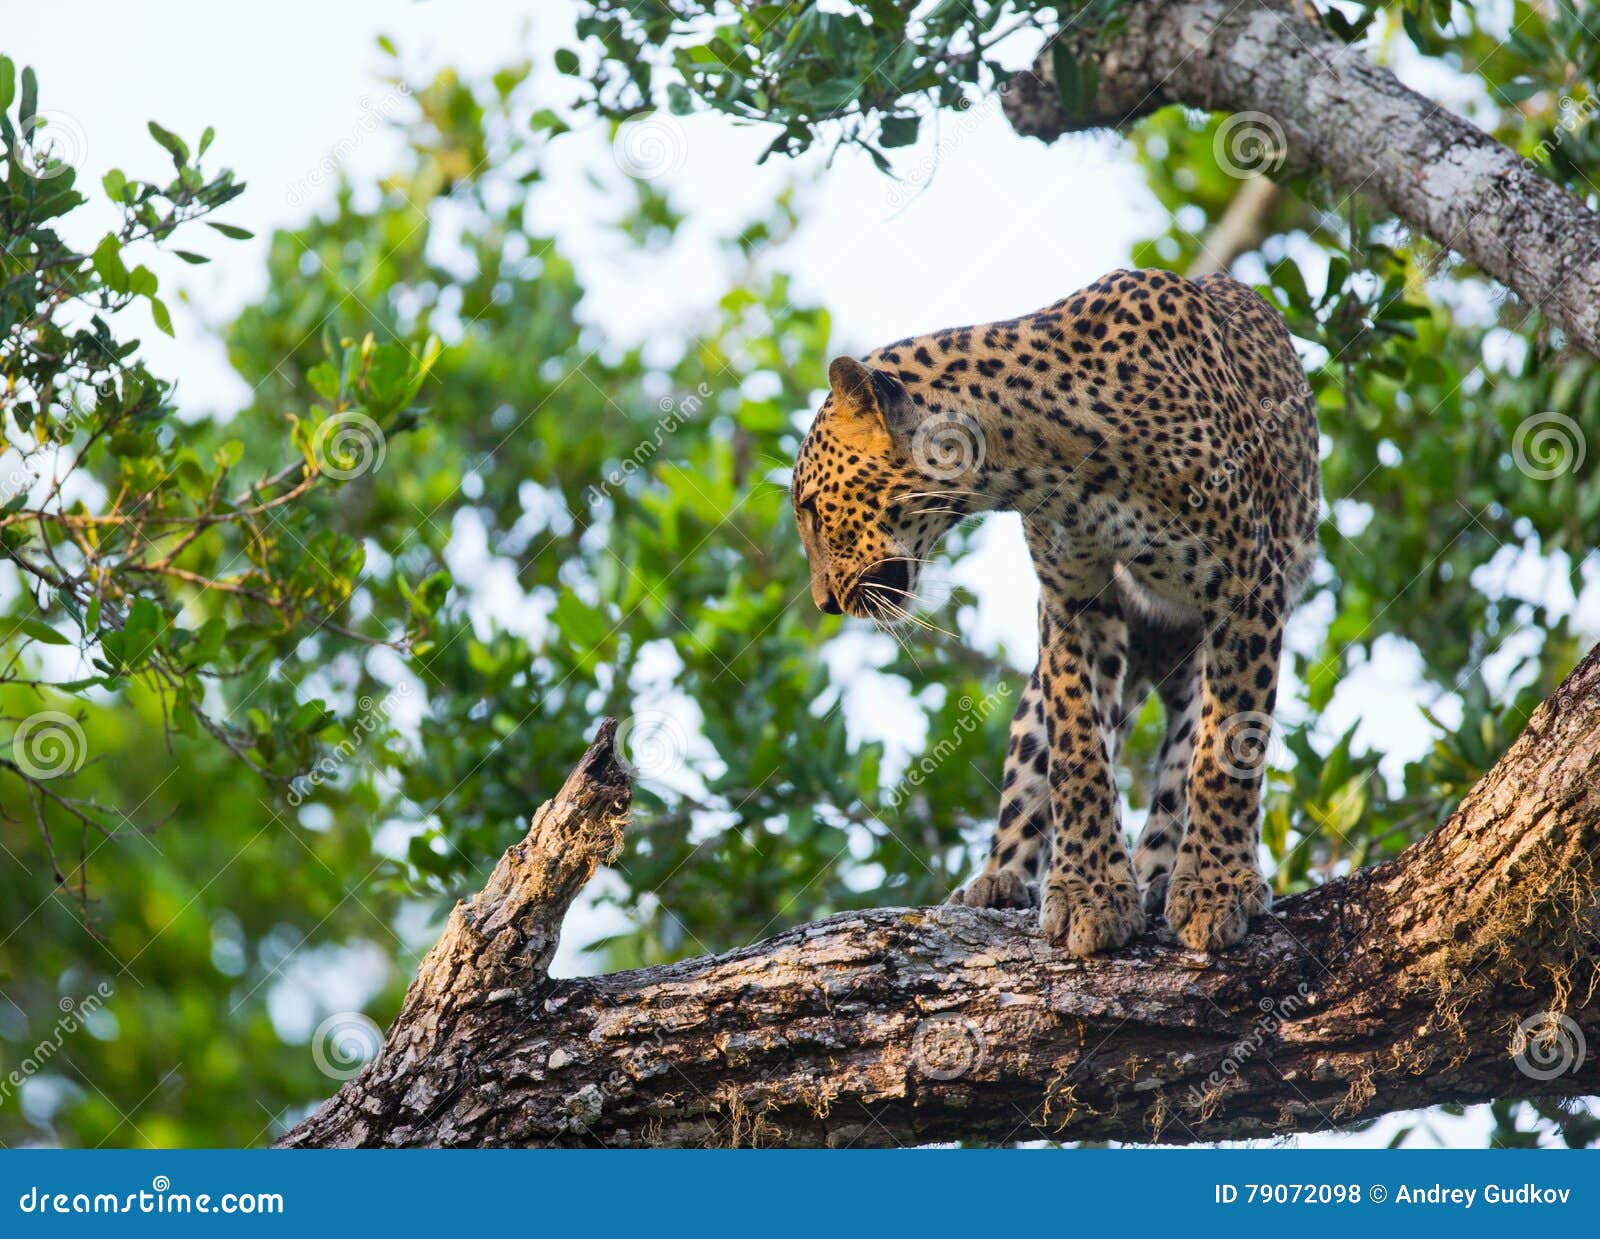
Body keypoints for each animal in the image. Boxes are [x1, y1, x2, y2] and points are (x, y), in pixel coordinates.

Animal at [790, 268, 1320, 956]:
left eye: (809, 507)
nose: (824, 603)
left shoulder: (1246, 584)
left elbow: (1229, 747)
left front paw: (1215, 885)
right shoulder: (1072, 599)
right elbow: (1077, 748)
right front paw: (1090, 891)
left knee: (1183, 757)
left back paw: (1159, 872)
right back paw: (1000, 879)